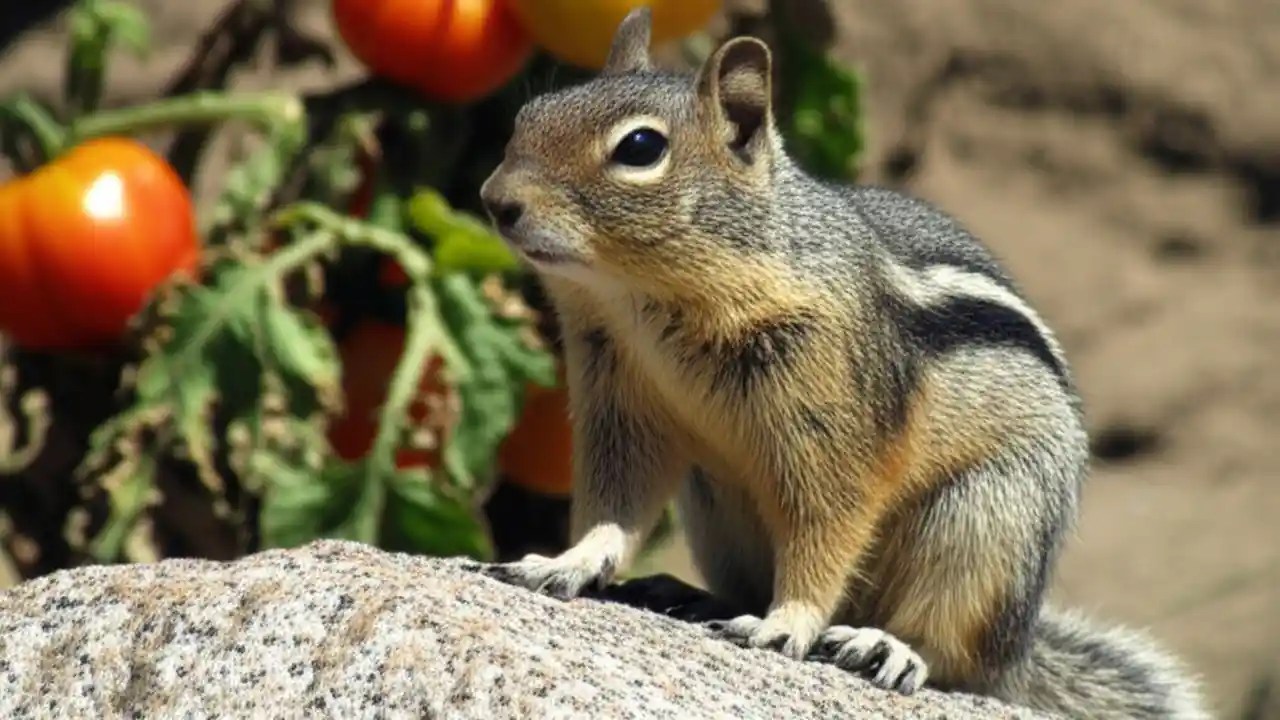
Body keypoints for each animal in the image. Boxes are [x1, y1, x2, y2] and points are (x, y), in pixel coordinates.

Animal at [478, 8, 1207, 719]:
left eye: (639, 149)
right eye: (529, 114)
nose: (494, 200)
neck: (638, 299)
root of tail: (1021, 651)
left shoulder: (833, 425)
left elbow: (826, 528)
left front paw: (787, 623)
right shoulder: (618, 400)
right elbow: (614, 504)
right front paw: (567, 562)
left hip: (984, 522)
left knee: (954, 655)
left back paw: (887, 646)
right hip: (715, 502)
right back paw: (700, 595)